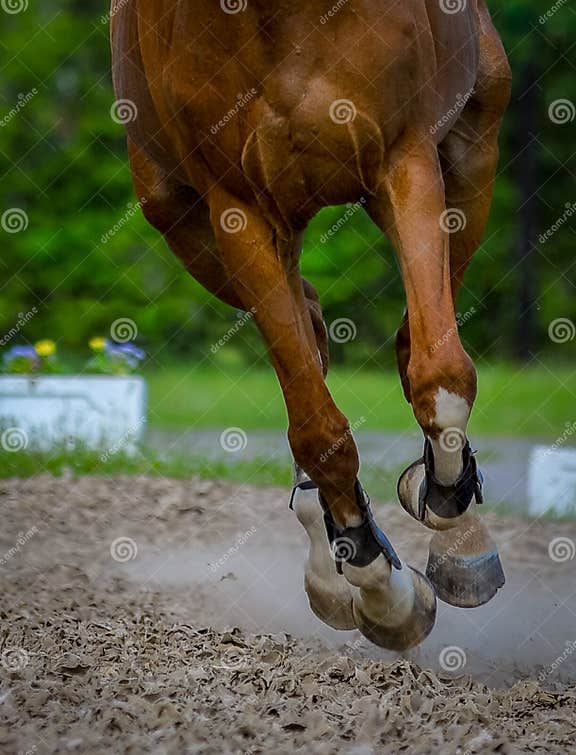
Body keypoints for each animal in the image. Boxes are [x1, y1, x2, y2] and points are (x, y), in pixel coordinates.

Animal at [110, 0, 511, 650]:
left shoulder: (405, 158)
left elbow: (442, 373)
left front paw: (451, 532)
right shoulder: (238, 210)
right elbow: (317, 427)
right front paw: (383, 591)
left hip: (473, 153)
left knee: (407, 341)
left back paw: (453, 527)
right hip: (187, 221)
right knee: (311, 330)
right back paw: (331, 559)